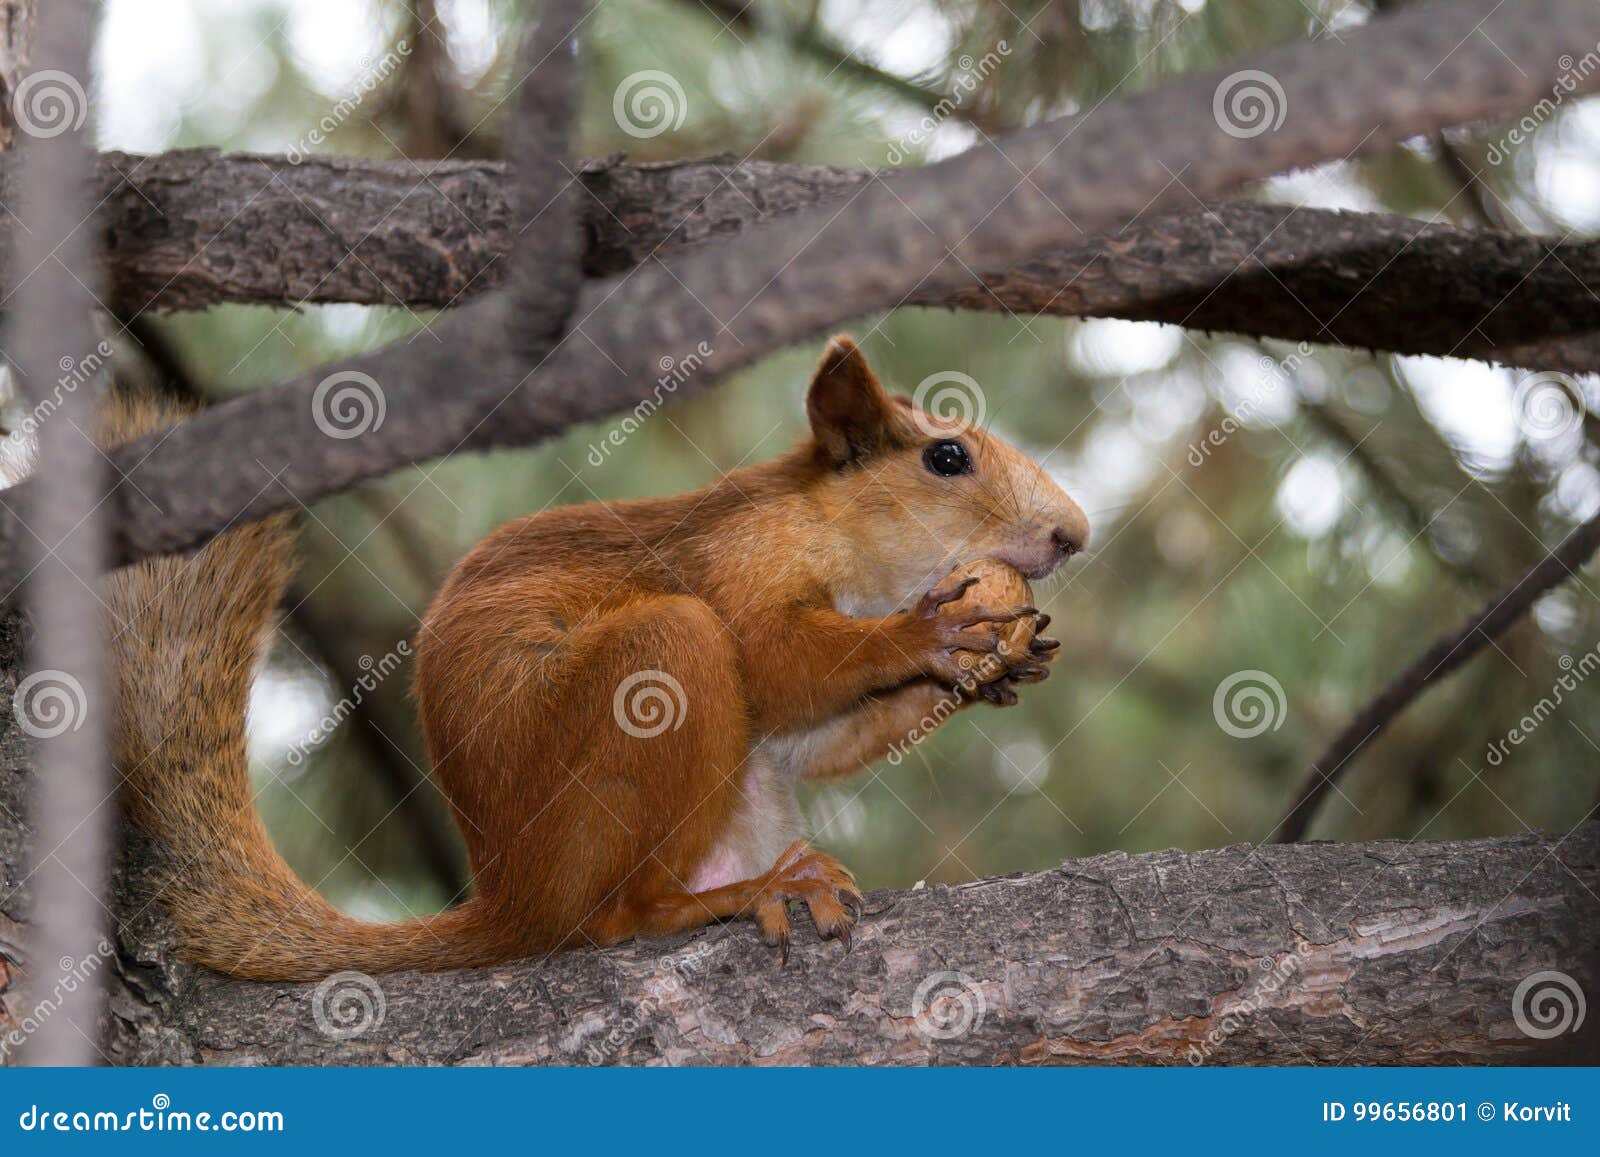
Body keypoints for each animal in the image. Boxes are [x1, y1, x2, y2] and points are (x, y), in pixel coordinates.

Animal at [105, 336, 1088, 981]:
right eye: (947, 456)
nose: (1073, 535)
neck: (833, 534)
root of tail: (512, 903)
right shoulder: (734, 566)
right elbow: (774, 663)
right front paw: (925, 638)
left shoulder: (796, 726)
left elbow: (819, 740)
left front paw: (998, 667)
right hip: (655, 671)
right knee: (615, 915)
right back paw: (748, 891)